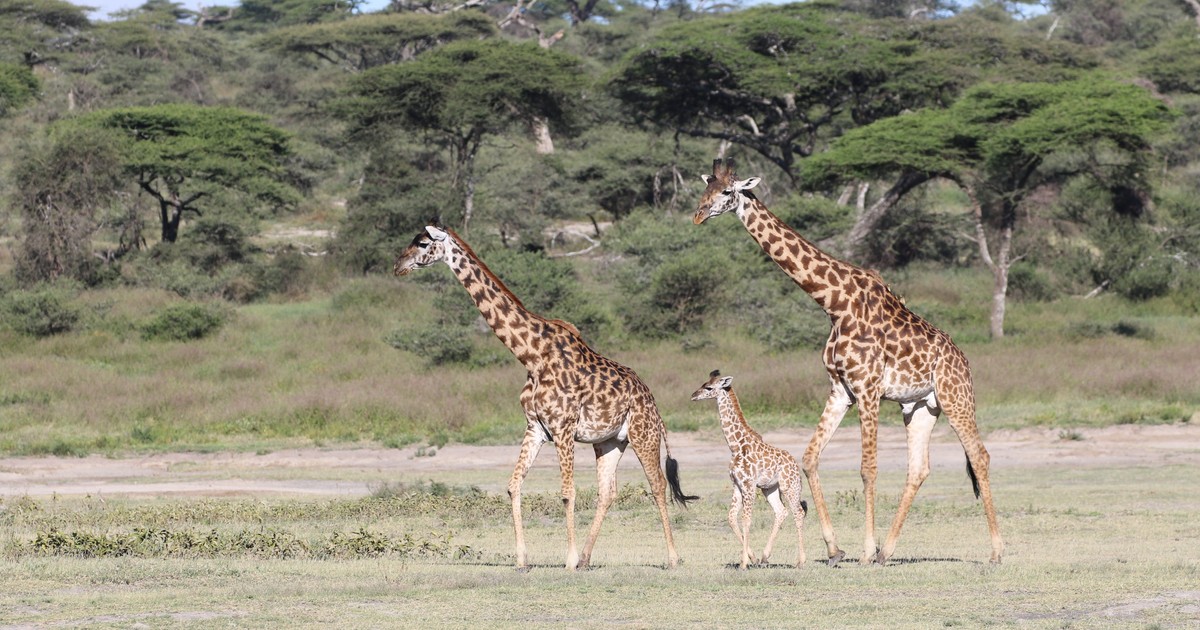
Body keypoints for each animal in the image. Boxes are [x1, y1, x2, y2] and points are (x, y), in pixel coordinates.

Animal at [394, 223, 698, 571]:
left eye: (422, 243)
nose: (398, 265)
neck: (531, 355)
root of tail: (653, 402)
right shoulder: (536, 428)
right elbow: (513, 486)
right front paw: (522, 559)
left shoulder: (563, 428)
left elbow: (567, 492)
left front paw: (567, 560)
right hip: (609, 441)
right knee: (608, 492)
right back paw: (587, 558)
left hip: (643, 434)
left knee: (657, 484)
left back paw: (672, 558)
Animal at [691, 370, 807, 569]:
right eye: (704, 383)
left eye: (709, 387)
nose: (693, 395)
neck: (735, 446)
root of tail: (795, 465)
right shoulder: (737, 484)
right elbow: (731, 517)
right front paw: (750, 558)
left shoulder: (748, 484)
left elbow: (746, 519)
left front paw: (744, 563)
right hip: (770, 488)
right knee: (781, 511)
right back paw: (765, 557)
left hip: (789, 486)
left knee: (798, 512)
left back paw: (801, 561)